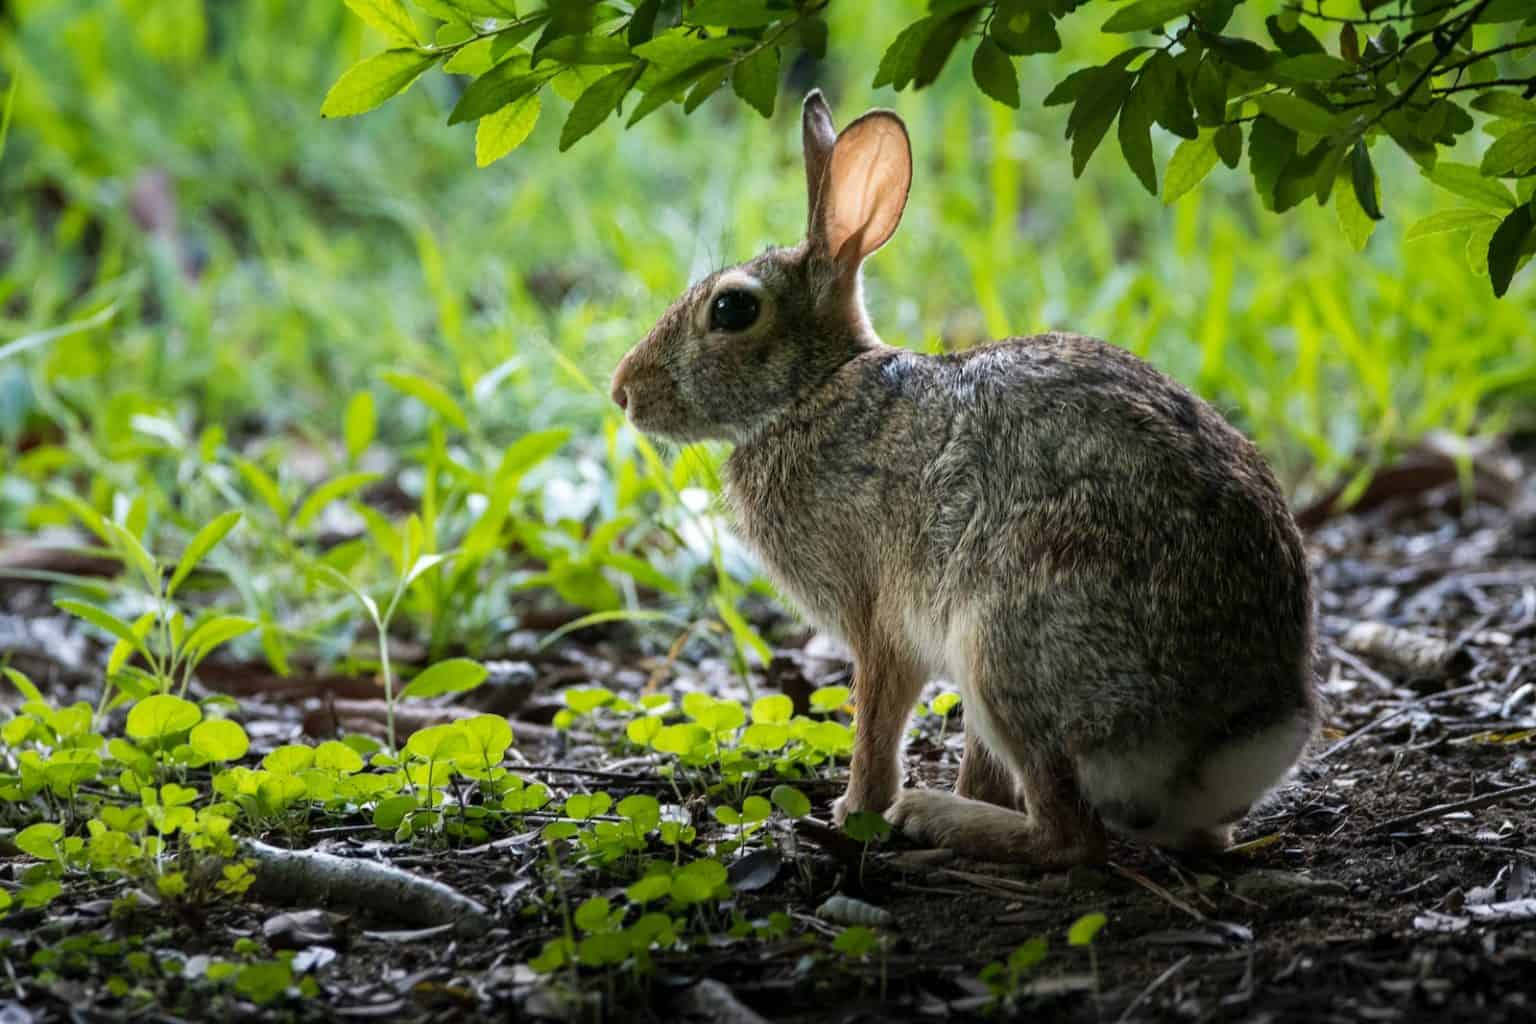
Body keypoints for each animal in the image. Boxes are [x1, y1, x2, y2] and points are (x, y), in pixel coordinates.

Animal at [608, 90, 1318, 866]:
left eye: (732, 309)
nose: (623, 392)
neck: (814, 389)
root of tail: (1235, 734)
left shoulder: (881, 621)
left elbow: (875, 723)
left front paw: (853, 811)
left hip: (1005, 639)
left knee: (1068, 838)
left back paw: (933, 817)